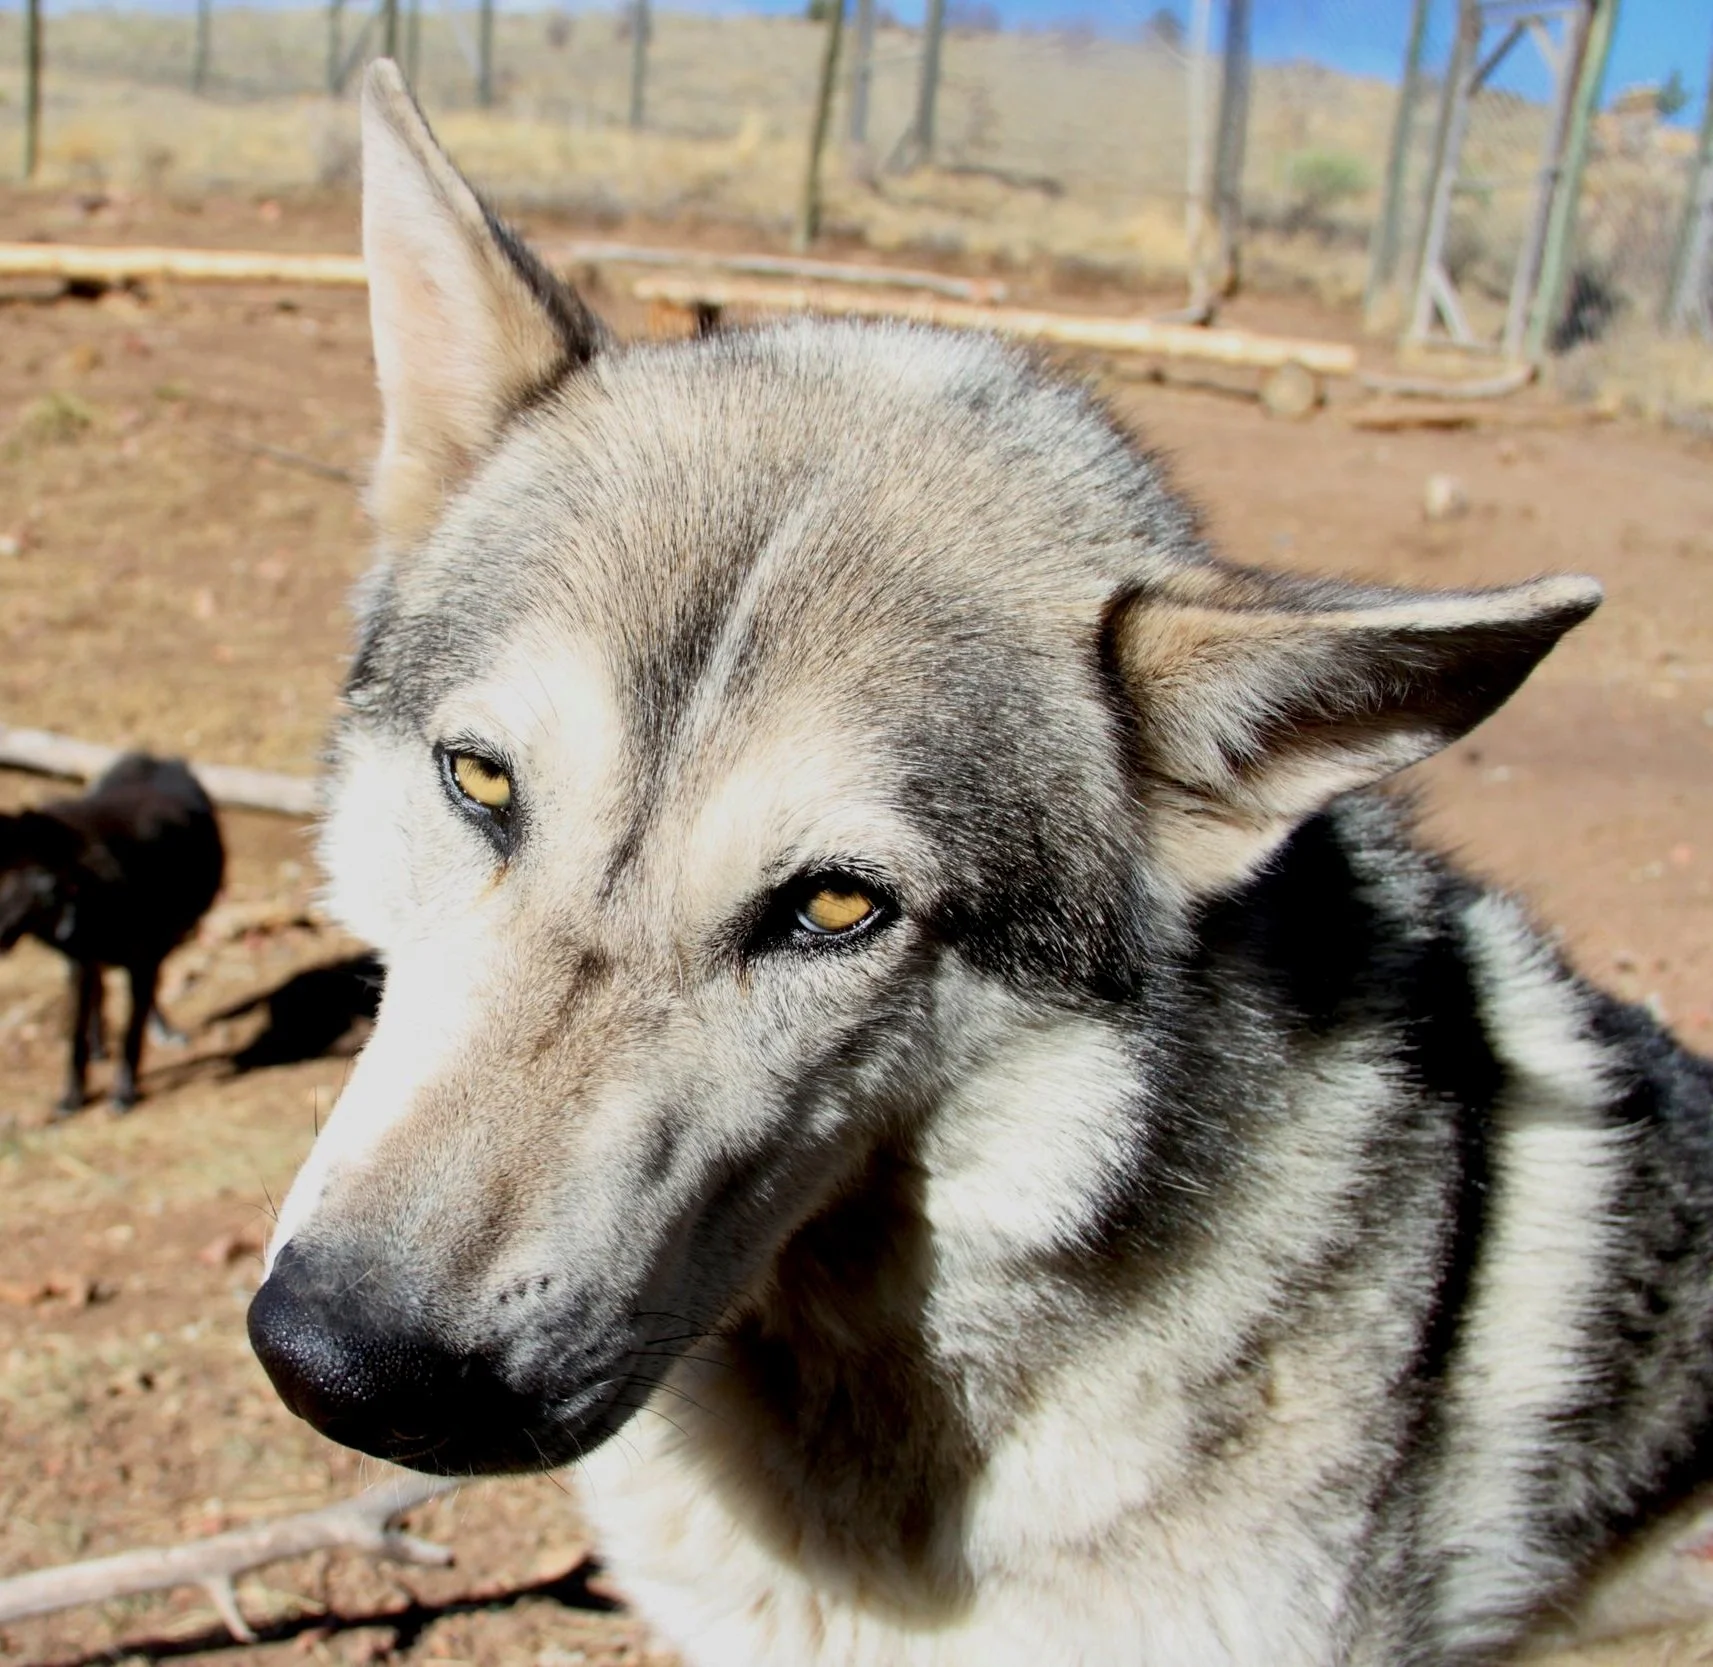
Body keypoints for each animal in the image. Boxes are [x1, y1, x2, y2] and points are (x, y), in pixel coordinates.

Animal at [0, 753, 224, 1112]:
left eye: (40, 885)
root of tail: (156, 758)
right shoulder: (80, 960)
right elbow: (76, 1033)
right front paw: (72, 1097)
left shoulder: (141, 959)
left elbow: (131, 1031)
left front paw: (123, 1092)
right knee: (100, 992)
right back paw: (99, 1046)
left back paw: (160, 1031)